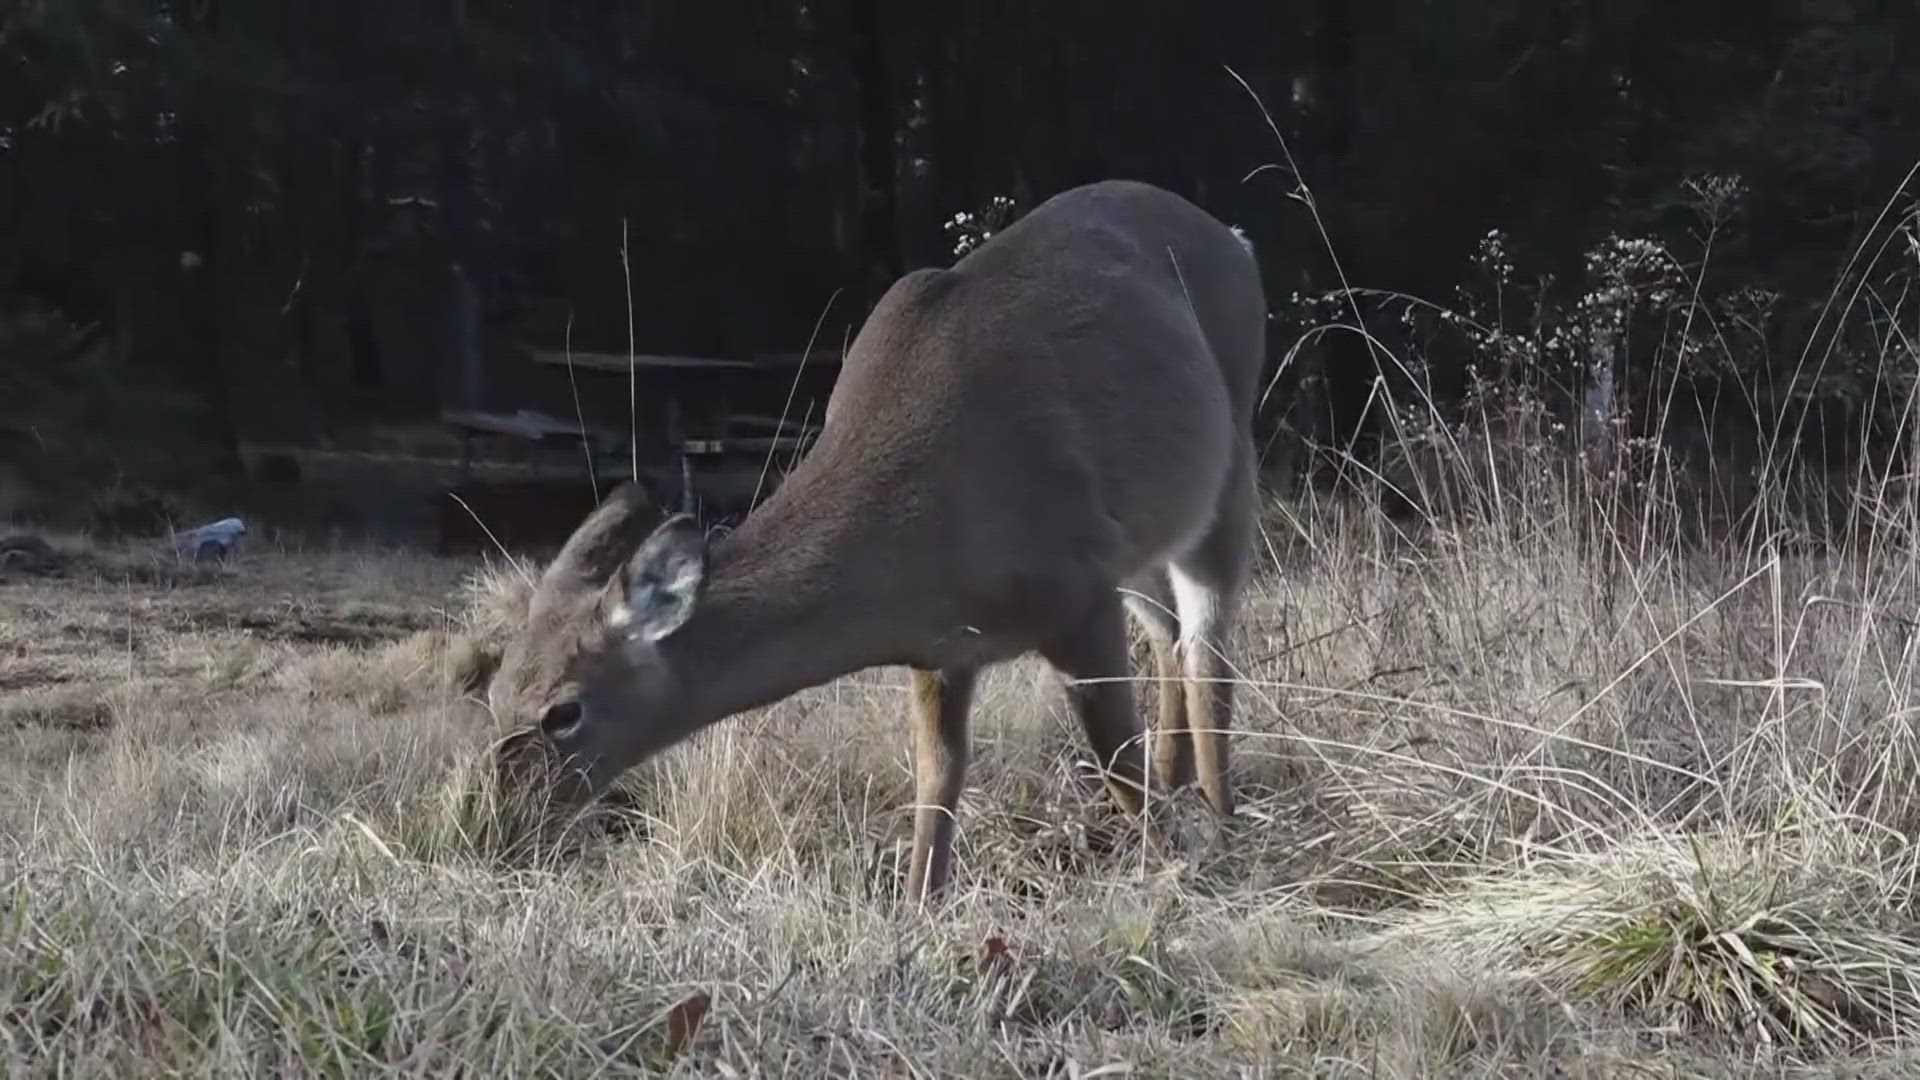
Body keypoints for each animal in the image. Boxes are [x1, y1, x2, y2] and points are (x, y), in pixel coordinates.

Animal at [485, 179, 1266, 903]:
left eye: (562, 711)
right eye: (492, 693)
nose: (498, 825)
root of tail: (1236, 241)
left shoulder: (1075, 589)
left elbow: (1114, 760)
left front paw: (1177, 867)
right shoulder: (944, 648)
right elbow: (938, 777)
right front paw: (921, 903)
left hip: (1228, 468)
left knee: (1209, 647)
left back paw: (1221, 815)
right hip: (1140, 539)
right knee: (1169, 635)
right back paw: (1181, 782)